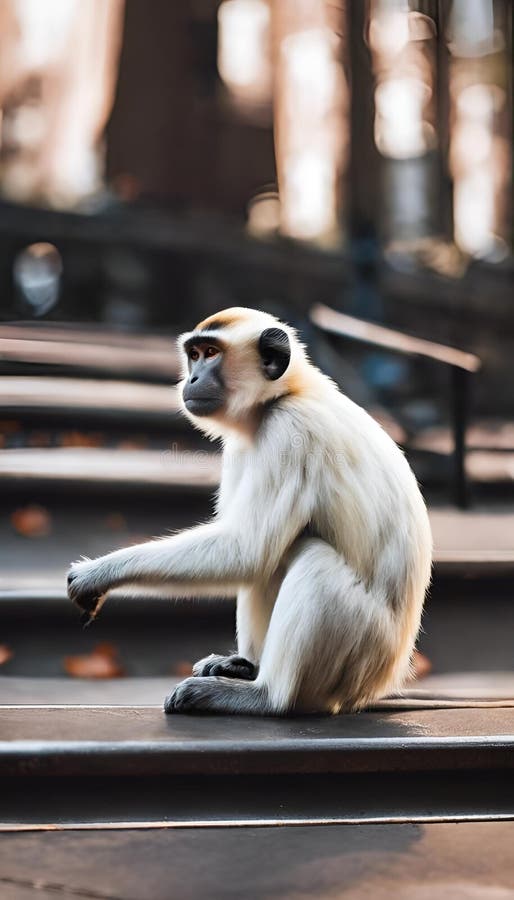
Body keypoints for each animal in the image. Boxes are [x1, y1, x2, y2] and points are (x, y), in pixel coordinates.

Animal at [67, 306, 432, 716]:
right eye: (194, 355)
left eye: (211, 353)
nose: (192, 378)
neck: (290, 392)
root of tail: (384, 678)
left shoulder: (289, 430)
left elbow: (247, 549)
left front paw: (98, 573)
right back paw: (246, 667)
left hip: (360, 652)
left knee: (307, 555)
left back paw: (265, 696)